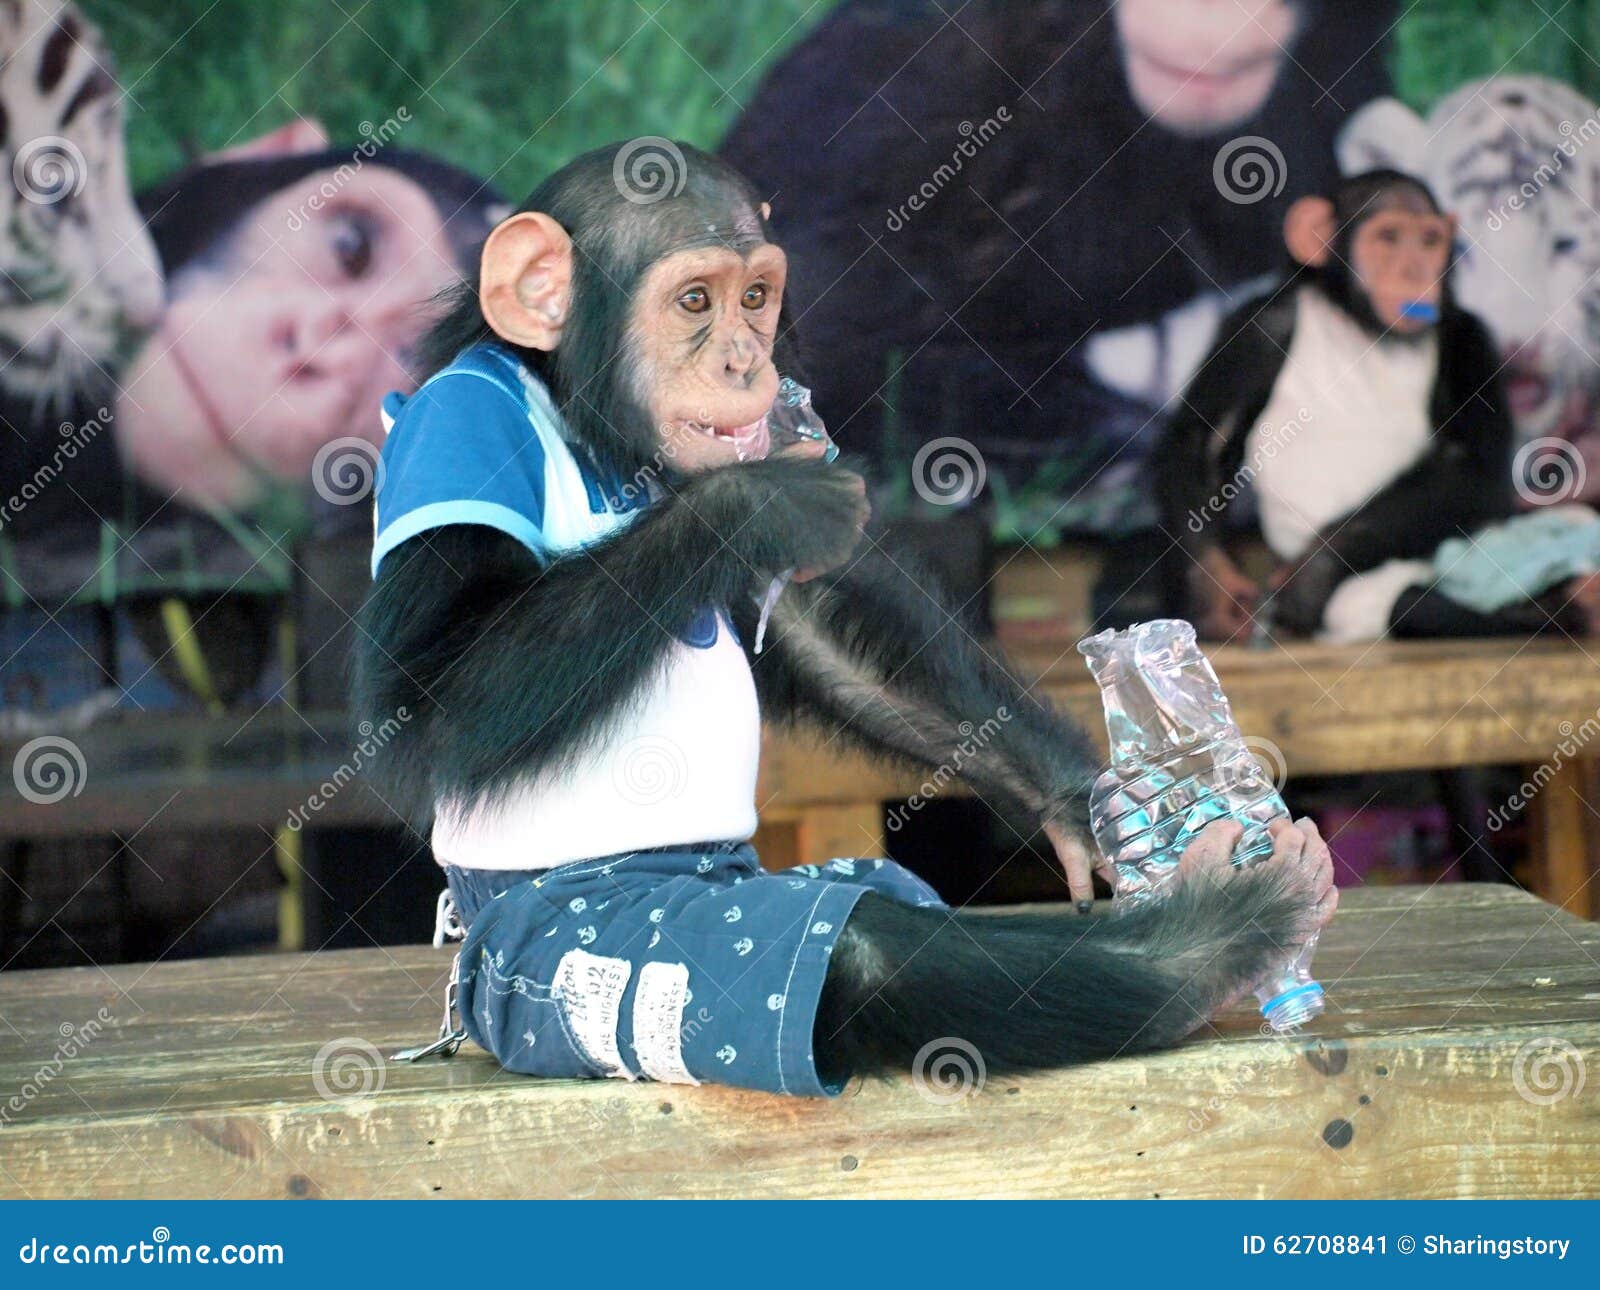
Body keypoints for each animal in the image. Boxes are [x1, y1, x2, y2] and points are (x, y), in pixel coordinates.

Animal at [356, 141, 1337, 1096]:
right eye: (695, 301)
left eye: (755, 298)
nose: (746, 362)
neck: (583, 420)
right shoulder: (460, 432)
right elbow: (433, 703)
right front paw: (759, 500)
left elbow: (820, 630)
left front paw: (1085, 809)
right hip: (589, 954)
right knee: (862, 953)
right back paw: (1216, 937)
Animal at [1158, 168, 1600, 645]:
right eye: (1389, 237)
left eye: (1429, 240)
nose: (1415, 270)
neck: (1361, 324)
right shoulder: (1257, 327)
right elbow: (1201, 444)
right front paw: (1213, 595)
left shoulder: (1468, 337)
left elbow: (1473, 468)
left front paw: (1314, 572)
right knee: (1416, 603)